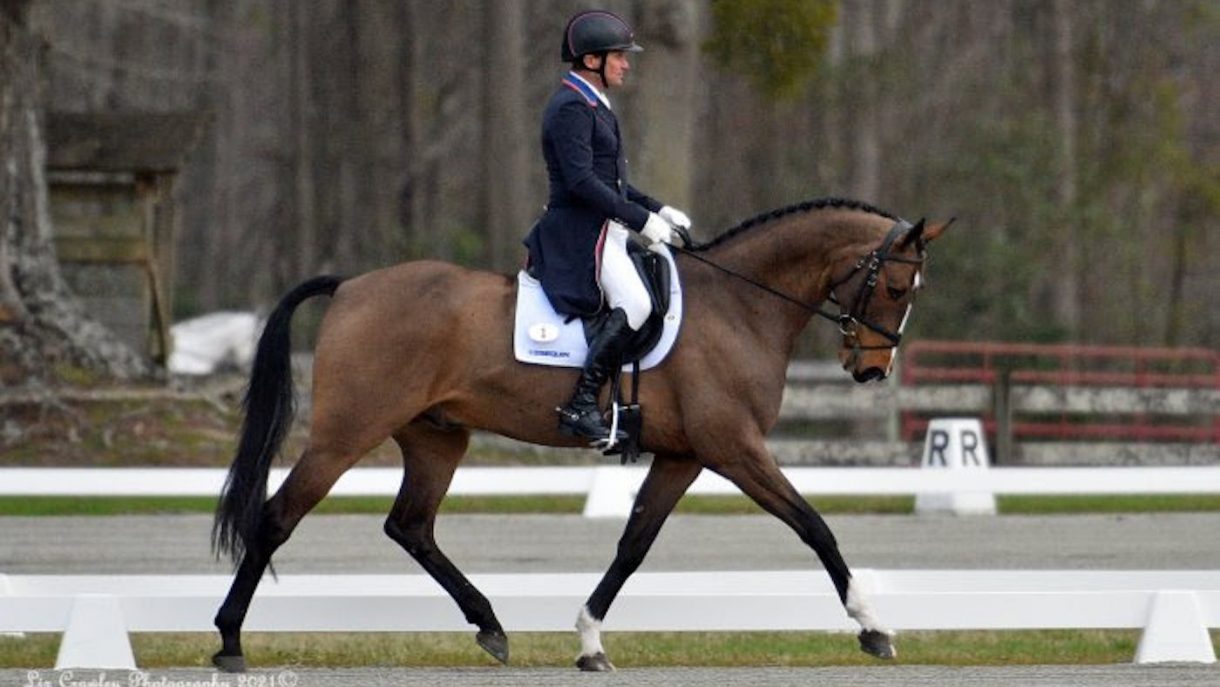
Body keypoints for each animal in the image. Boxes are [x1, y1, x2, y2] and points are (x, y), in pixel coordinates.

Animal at [209, 196, 950, 673]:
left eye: (913, 291)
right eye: (894, 286)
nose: (871, 369)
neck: (741, 305)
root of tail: (350, 286)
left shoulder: (684, 456)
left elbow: (634, 544)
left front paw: (591, 641)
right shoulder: (734, 448)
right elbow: (814, 525)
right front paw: (874, 627)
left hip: (436, 436)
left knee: (411, 525)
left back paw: (491, 627)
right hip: (348, 432)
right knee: (276, 517)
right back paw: (230, 641)